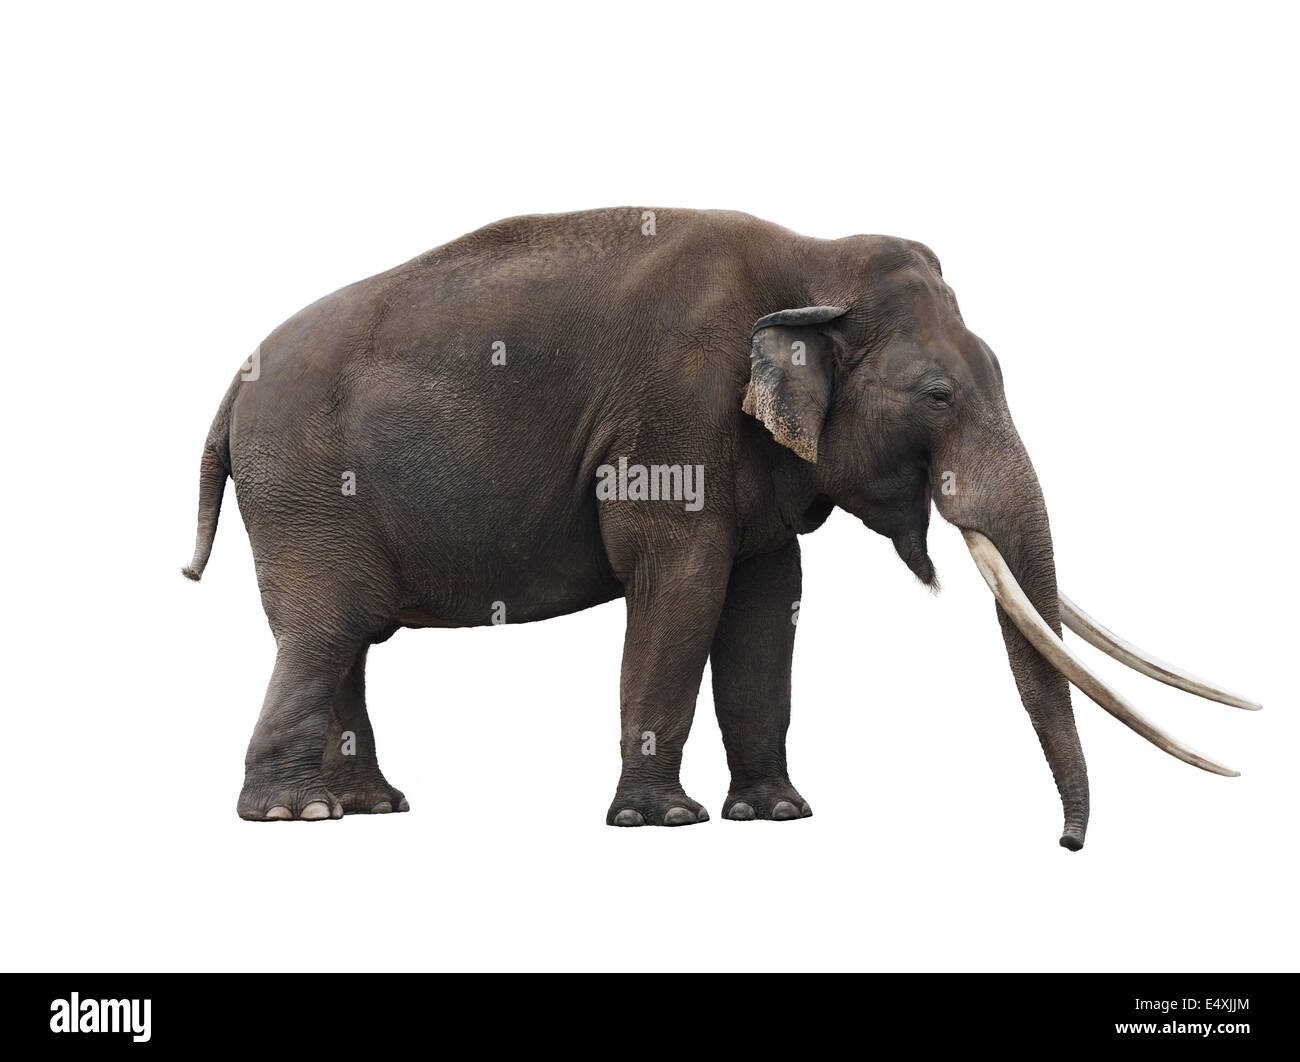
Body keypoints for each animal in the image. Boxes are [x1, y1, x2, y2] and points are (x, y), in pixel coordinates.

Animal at [184, 207, 1259, 848]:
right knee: (323, 631)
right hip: (304, 491)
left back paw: (368, 808)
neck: (813, 264)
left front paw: (776, 814)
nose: (1065, 844)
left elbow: (766, 599)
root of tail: (229, 392)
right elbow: (682, 582)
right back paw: (293, 815)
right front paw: (662, 822)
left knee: (349, 638)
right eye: (938, 395)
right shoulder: (671, 418)